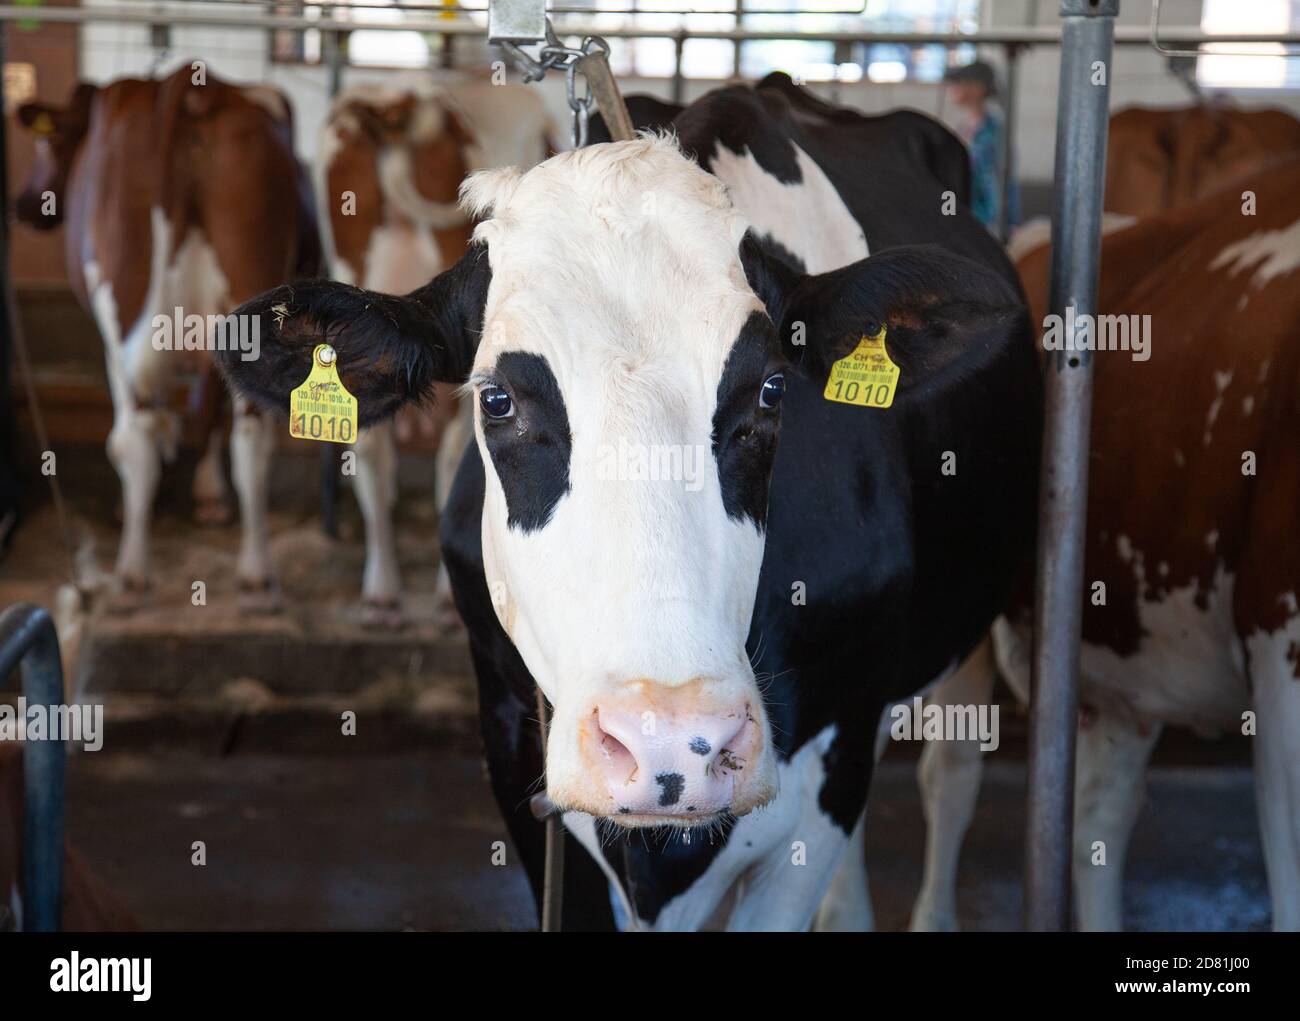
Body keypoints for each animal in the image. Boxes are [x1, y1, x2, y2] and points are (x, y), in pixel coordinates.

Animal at [13, 67, 320, 607]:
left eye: (47, 143)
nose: (24, 204)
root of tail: (196, 84)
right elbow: (206, 410)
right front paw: (207, 496)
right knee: (251, 438)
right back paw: (257, 573)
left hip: (126, 305)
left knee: (136, 433)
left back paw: (132, 572)